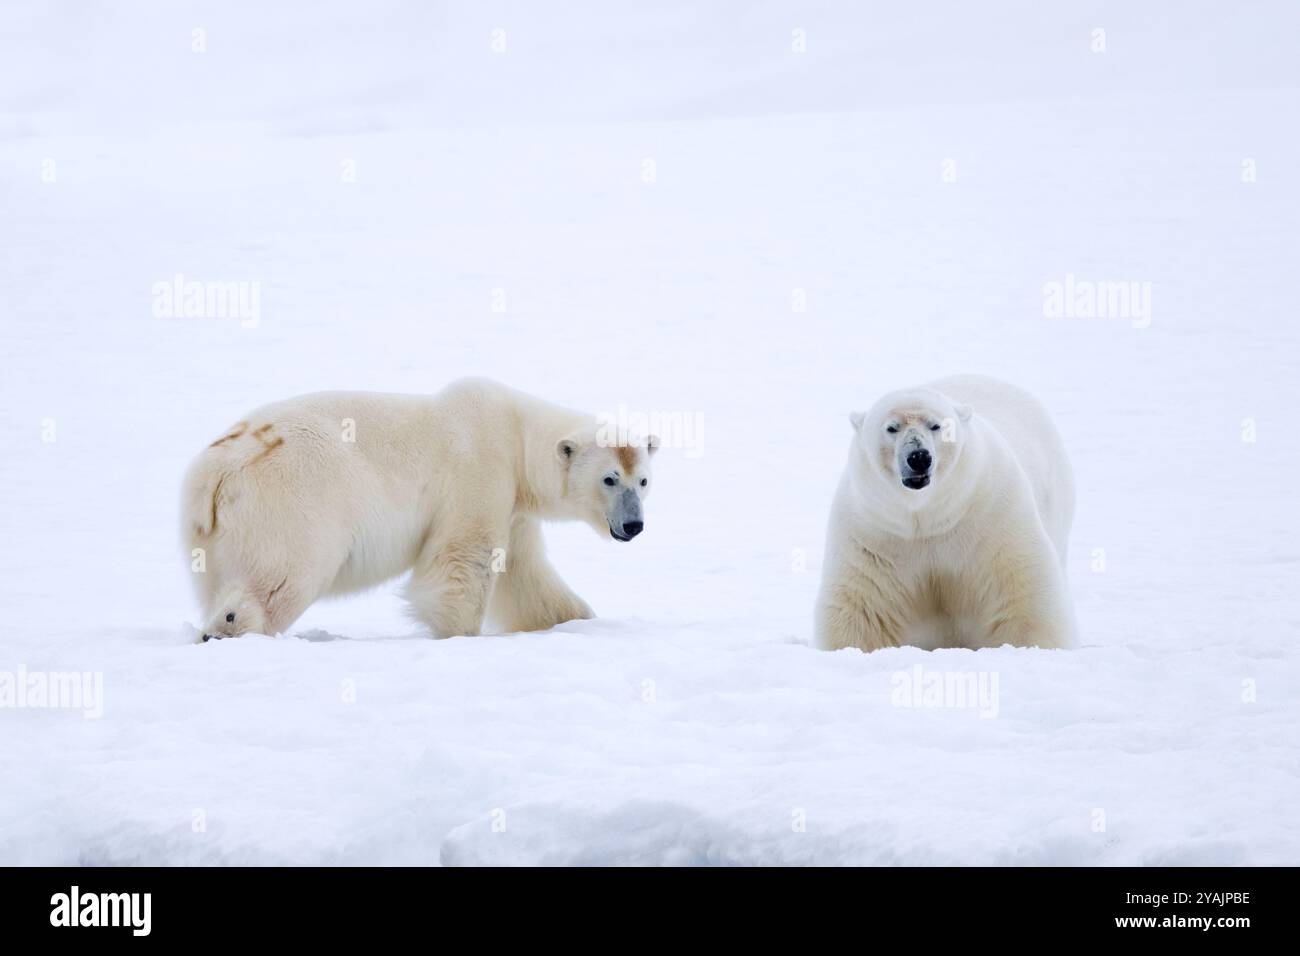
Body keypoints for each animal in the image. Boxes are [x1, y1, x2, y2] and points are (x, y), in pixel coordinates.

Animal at [181, 378, 658, 641]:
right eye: (609, 479)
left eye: (643, 480)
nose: (633, 525)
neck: (516, 433)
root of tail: (216, 469)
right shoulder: (479, 471)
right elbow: (465, 555)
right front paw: (458, 632)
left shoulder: (513, 505)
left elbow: (524, 574)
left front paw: (575, 619)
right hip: (294, 501)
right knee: (282, 576)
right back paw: (227, 628)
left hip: (211, 536)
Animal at [814, 374, 1075, 651]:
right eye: (892, 428)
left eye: (936, 426)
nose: (918, 457)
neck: (929, 518)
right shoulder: (873, 536)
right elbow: (863, 611)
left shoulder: (995, 516)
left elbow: (1023, 596)